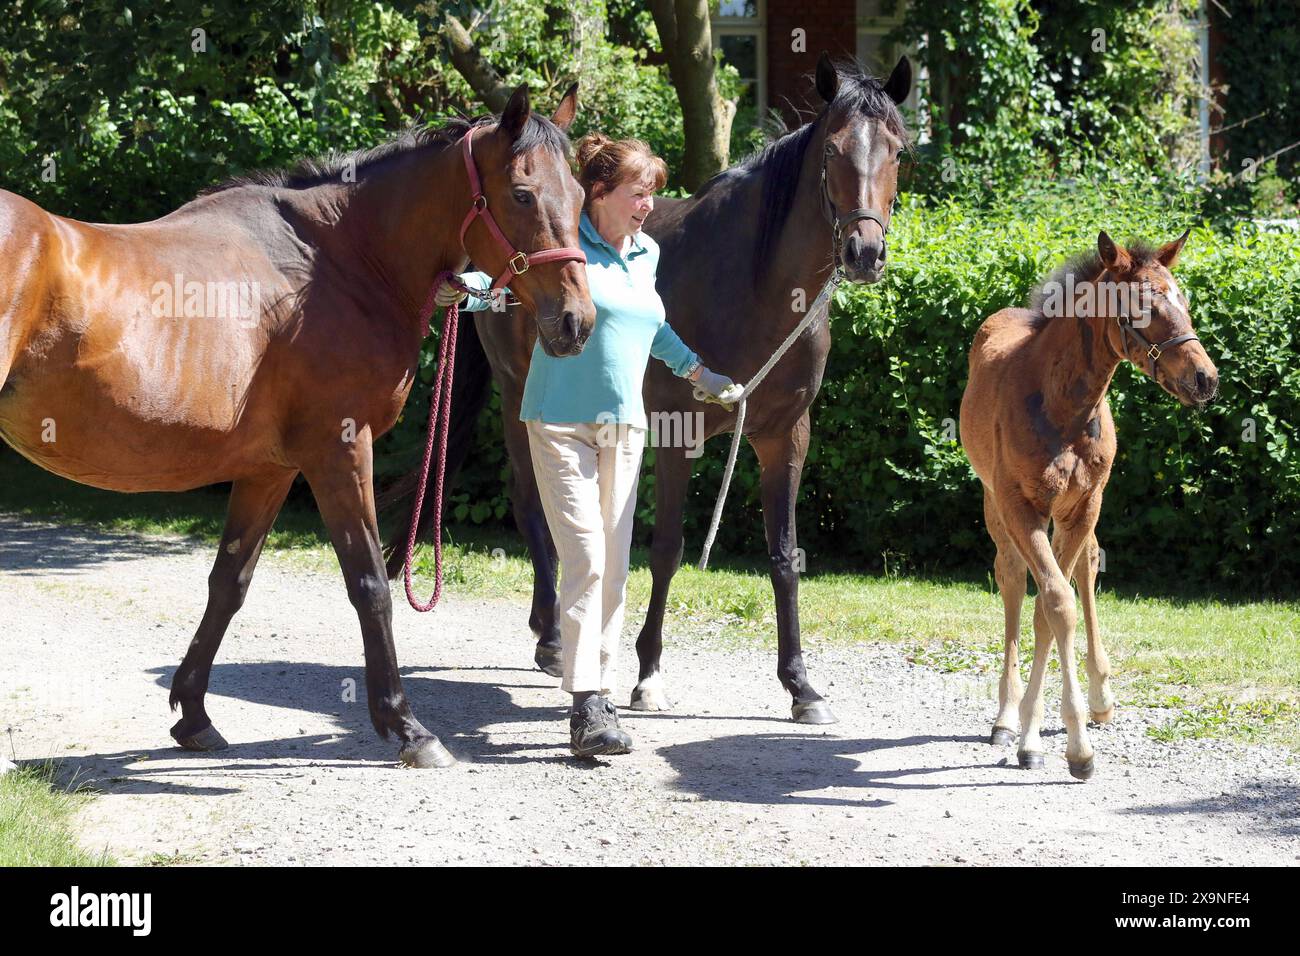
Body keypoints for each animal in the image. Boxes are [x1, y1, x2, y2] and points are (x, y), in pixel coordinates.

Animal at [0, 84, 596, 768]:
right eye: (522, 194)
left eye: (580, 197)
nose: (576, 322)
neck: (331, 267)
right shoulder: (341, 451)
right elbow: (370, 585)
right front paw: (408, 728)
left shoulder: (271, 470)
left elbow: (229, 584)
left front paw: (194, 715)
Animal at [384, 53, 912, 724]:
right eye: (834, 151)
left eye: (898, 151)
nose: (865, 252)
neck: (752, 283)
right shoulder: (674, 435)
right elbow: (664, 550)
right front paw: (649, 675)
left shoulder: (786, 434)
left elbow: (785, 556)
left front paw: (801, 686)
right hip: (515, 394)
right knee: (531, 502)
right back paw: (552, 637)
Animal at [959, 229, 1218, 779]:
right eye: (1142, 307)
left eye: (1184, 300)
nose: (1205, 379)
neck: (1063, 405)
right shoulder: (1020, 507)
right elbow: (1052, 602)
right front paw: (1061, 744)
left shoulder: (1085, 505)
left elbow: (1057, 603)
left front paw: (1052, 732)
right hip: (994, 504)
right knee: (1011, 578)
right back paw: (1004, 717)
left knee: (1086, 567)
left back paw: (1099, 697)